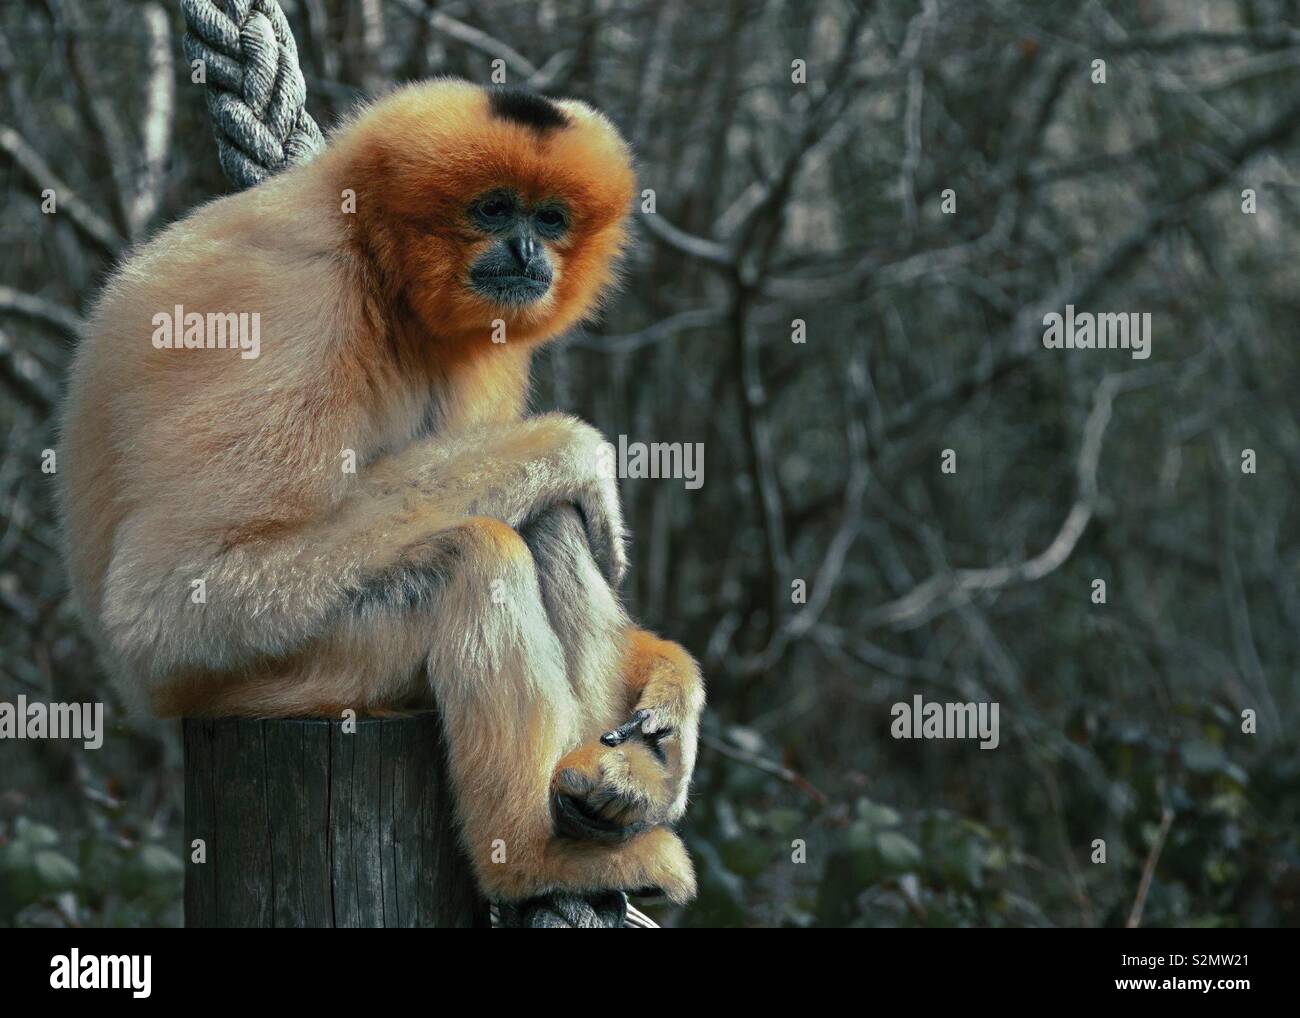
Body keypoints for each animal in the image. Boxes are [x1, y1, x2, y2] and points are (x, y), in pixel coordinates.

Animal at [56, 79, 704, 908]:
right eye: (495, 209)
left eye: (551, 218)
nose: (527, 250)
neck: (371, 258)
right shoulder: (286, 308)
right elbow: (175, 593)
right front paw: (569, 447)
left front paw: (668, 689)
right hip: (271, 671)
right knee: (478, 554)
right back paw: (530, 859)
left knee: (543, 521)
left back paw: (609, 795)